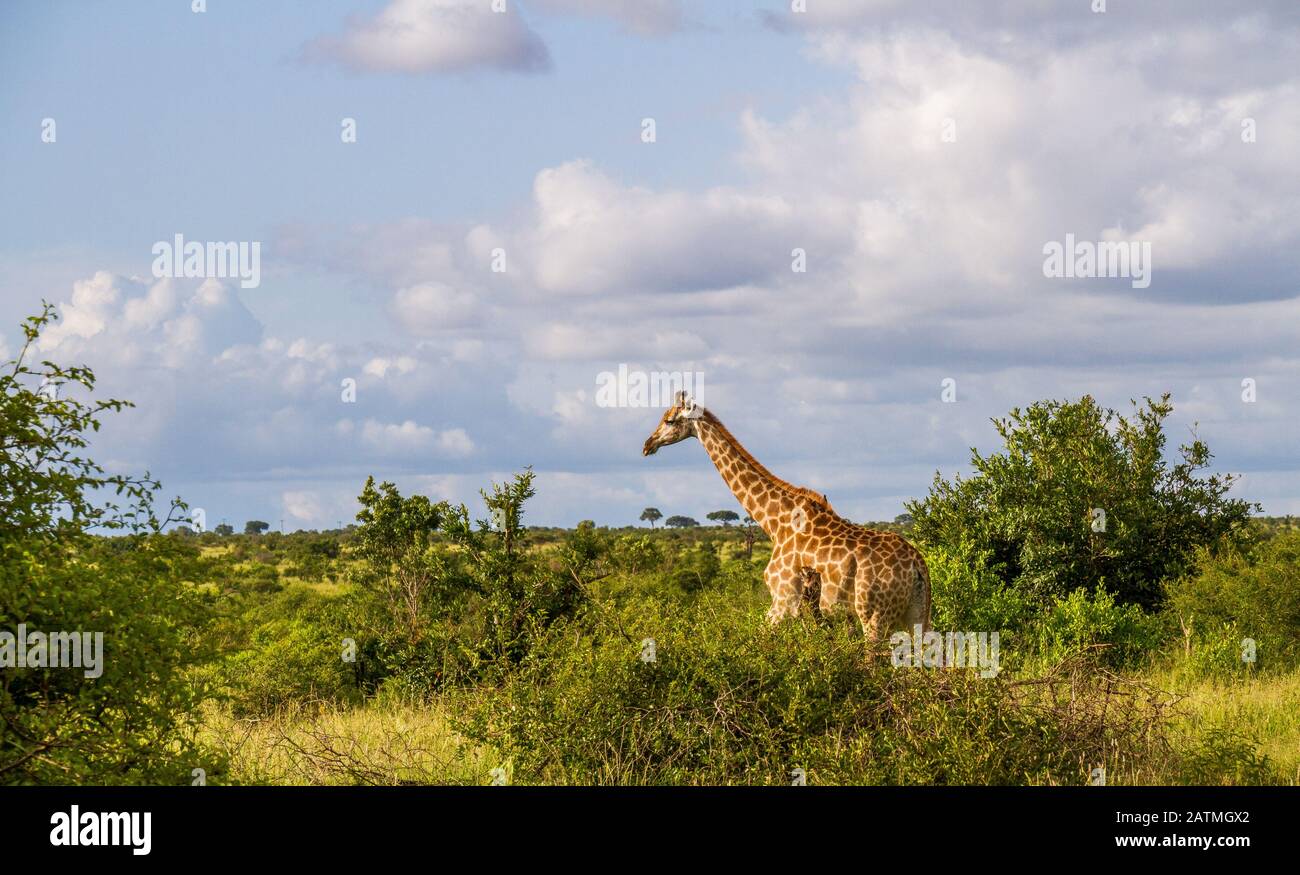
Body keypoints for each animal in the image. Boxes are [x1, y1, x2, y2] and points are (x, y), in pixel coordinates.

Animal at [642, 391, 930, 641]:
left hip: (873, 616)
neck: (774, 521)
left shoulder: (783, 601)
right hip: (916, 616)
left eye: (669, 420)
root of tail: (917, 565)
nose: (648, 445)